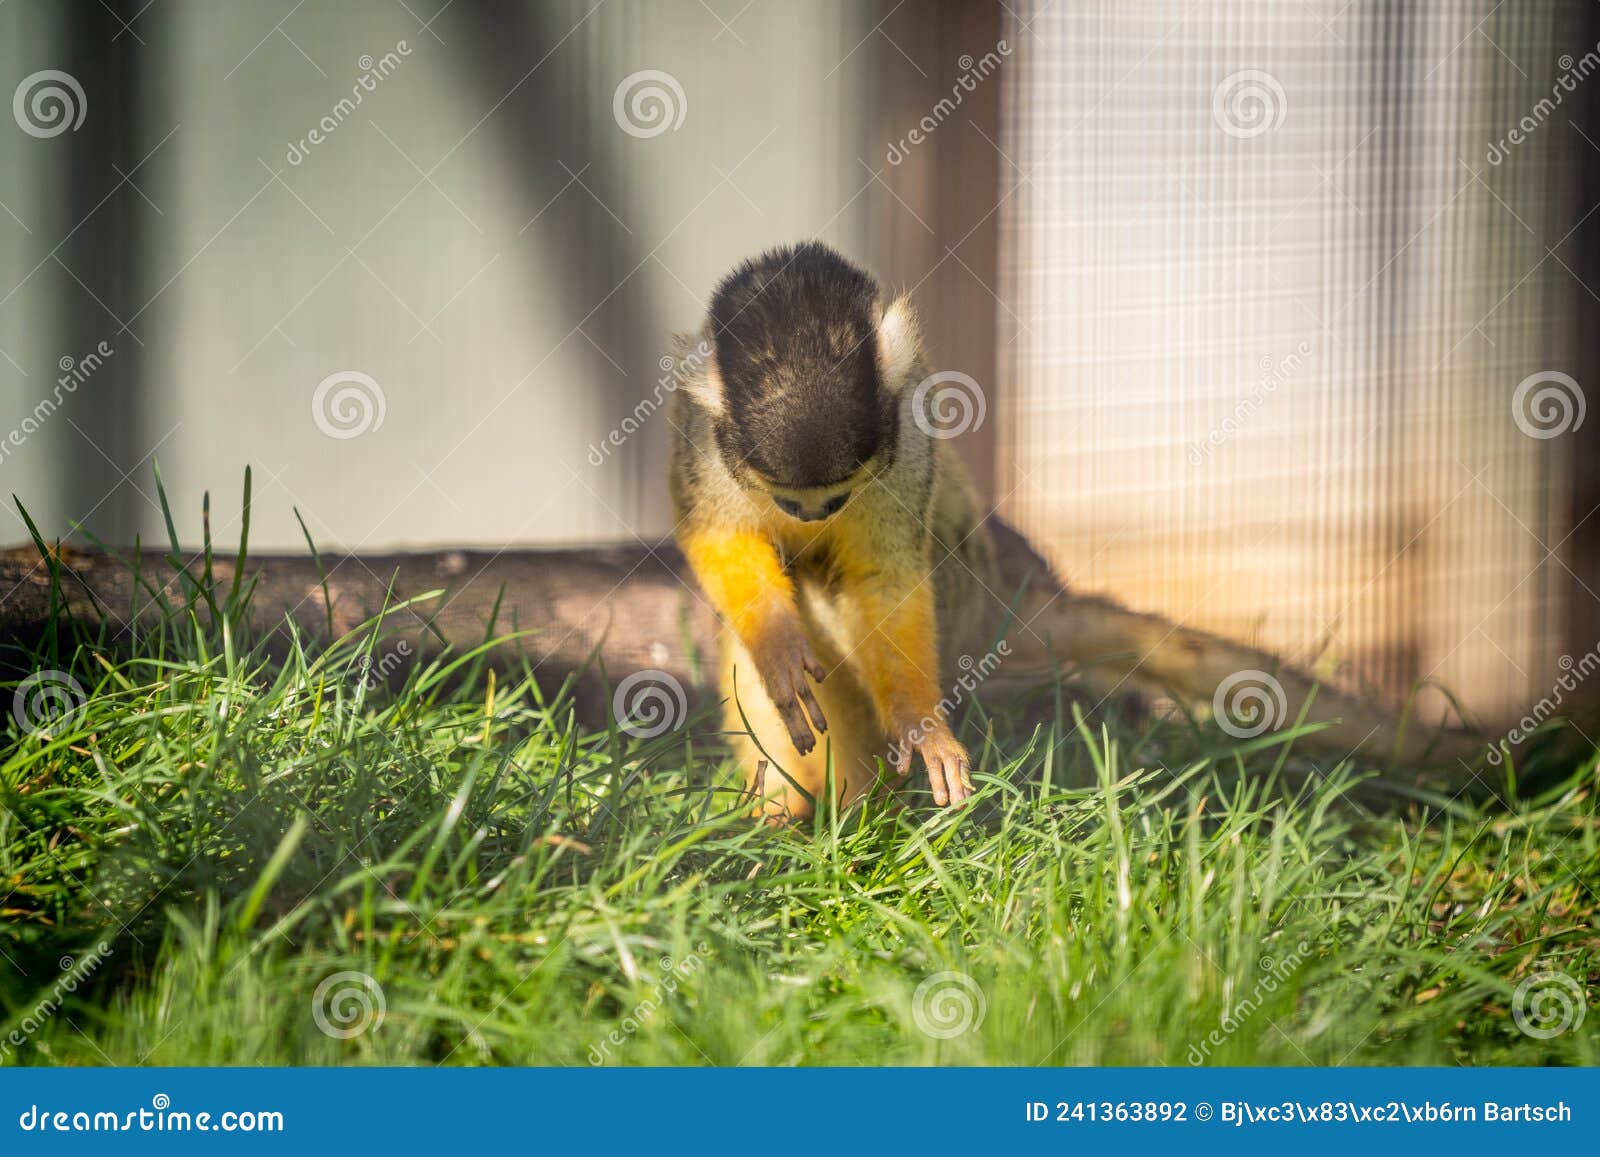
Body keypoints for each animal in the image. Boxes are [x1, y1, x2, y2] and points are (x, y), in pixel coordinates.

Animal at [669, 241, 1483, 821]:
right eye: (797, 502)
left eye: (834, 498)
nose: (814, 517)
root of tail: (1006, 594)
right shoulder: (700, 435)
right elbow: (712, 536)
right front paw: (778, 647)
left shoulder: (906, 433)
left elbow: (884, 575)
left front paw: (919, 726)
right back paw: (792, 814)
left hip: (963, 601)